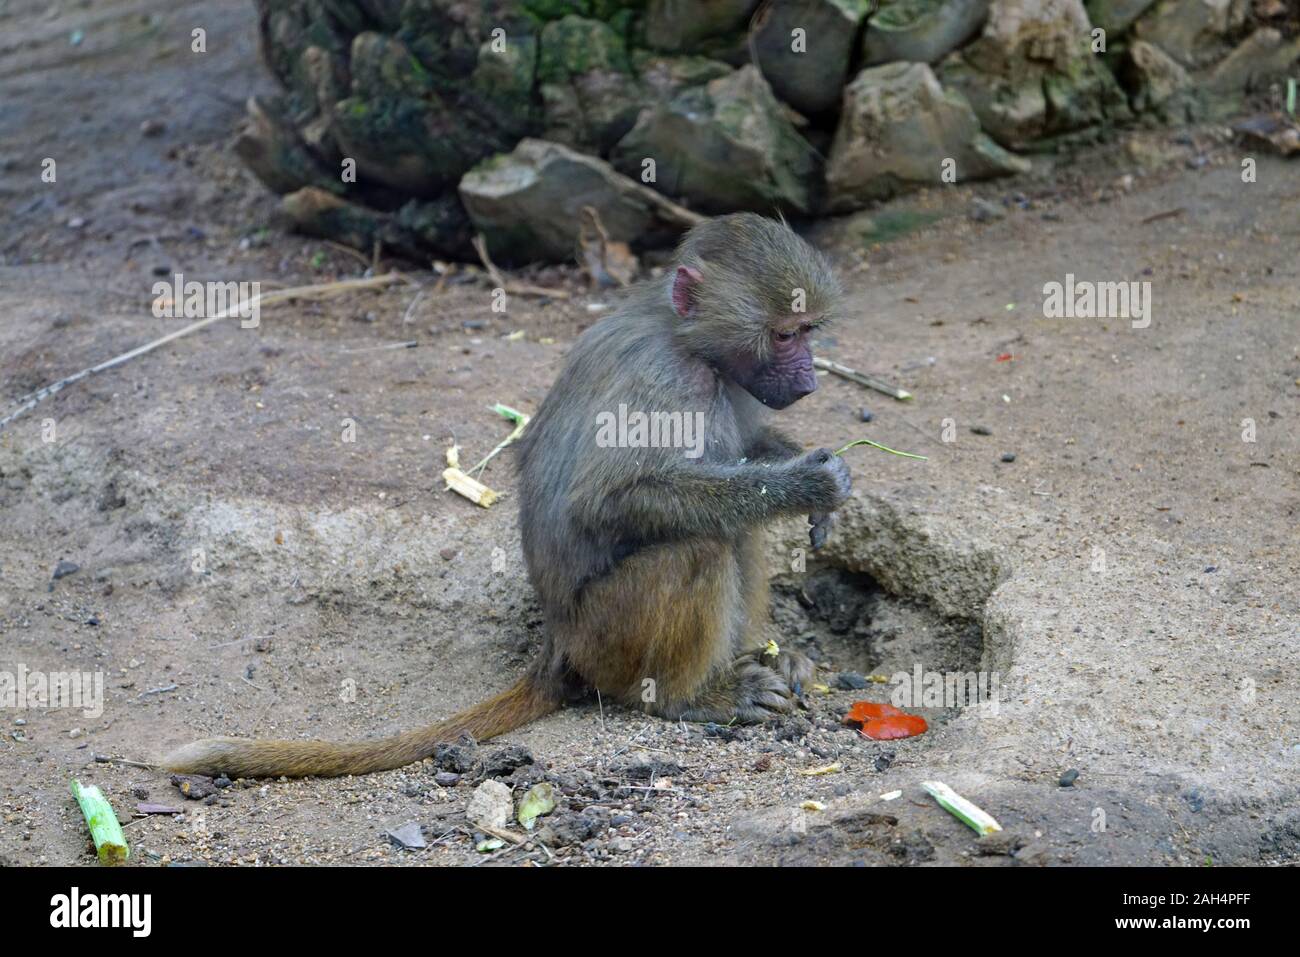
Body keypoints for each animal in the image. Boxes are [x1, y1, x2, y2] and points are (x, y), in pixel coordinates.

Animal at [162, 213, 851, 779]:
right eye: (785, 335)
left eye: (808, 330)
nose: (811, 383)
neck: (689, 341)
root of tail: (558, 647)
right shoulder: (664, 381)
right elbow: (609, 500)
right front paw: (809, 483)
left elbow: (745, 450)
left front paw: (824, 481)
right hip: (607, 637)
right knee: (702, 545)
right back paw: (694, 696)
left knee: (739, 530)